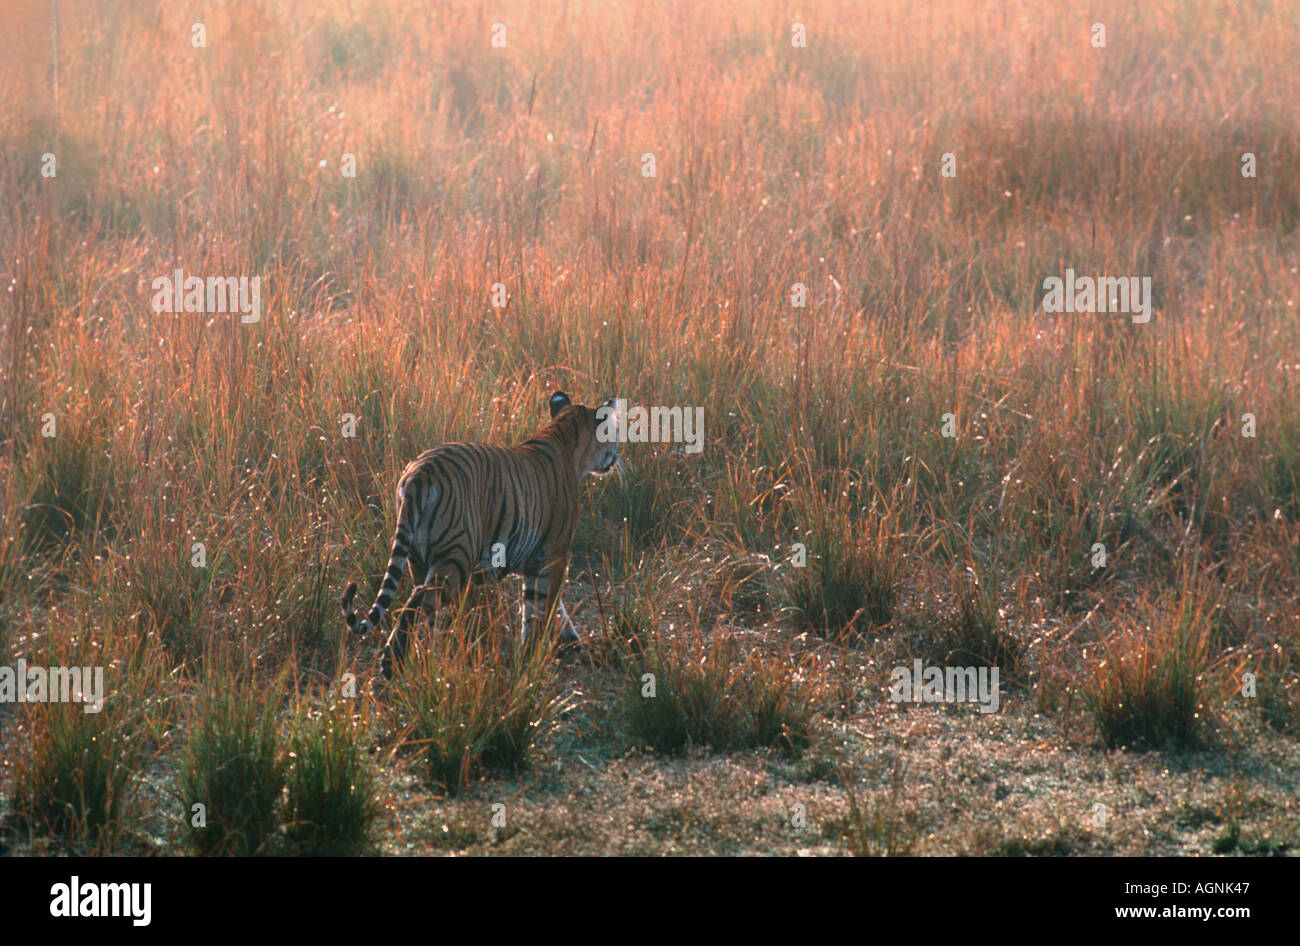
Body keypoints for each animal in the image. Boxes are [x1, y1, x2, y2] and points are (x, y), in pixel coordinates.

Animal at [341, 391, 620, 678]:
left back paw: (428, 654)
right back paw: (392, 661)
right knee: (418, 598)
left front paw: (565, 640)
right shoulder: (554, 553)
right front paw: (534, 653)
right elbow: (544, 604)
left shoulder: (530, 559)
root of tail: (419, 474)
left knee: (423, 605)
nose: (616, 458)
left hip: (417, 559)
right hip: (457, 556)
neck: (563, 436)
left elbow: (546, 606)